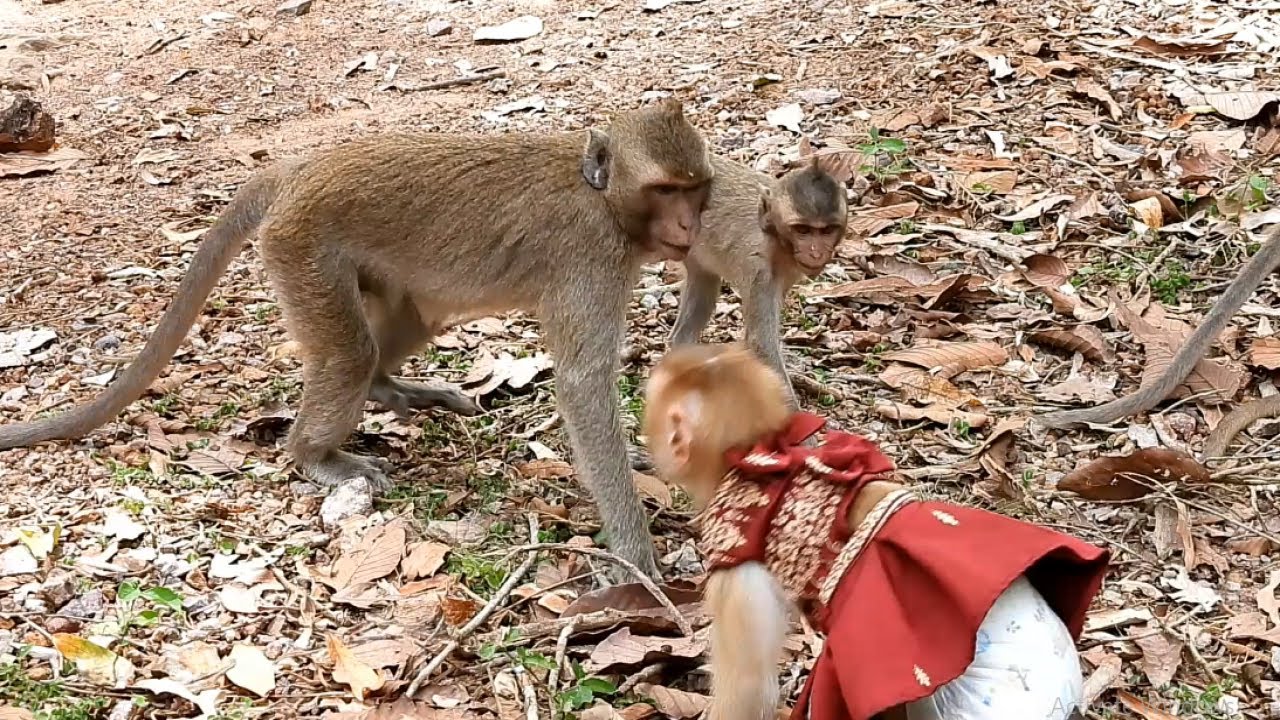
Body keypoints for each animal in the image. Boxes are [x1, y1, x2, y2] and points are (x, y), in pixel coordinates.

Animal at [0, 99, 715, 578]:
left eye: (696, 189)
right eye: (664, 190)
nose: (689, 226)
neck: (603, 198)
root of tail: (299, 169)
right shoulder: (592, 254)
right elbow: (582, 385)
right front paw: (637, 555)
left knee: (402, 329)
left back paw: (391, 389)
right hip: (301, 248)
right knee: (347, 356)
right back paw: (314, 453)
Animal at [668, 157, 847, 408]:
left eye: (827, 230)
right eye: (802, 230)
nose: (815, 252)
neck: (774, 238)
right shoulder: (757, 268)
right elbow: (761, 344)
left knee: (704, 280)